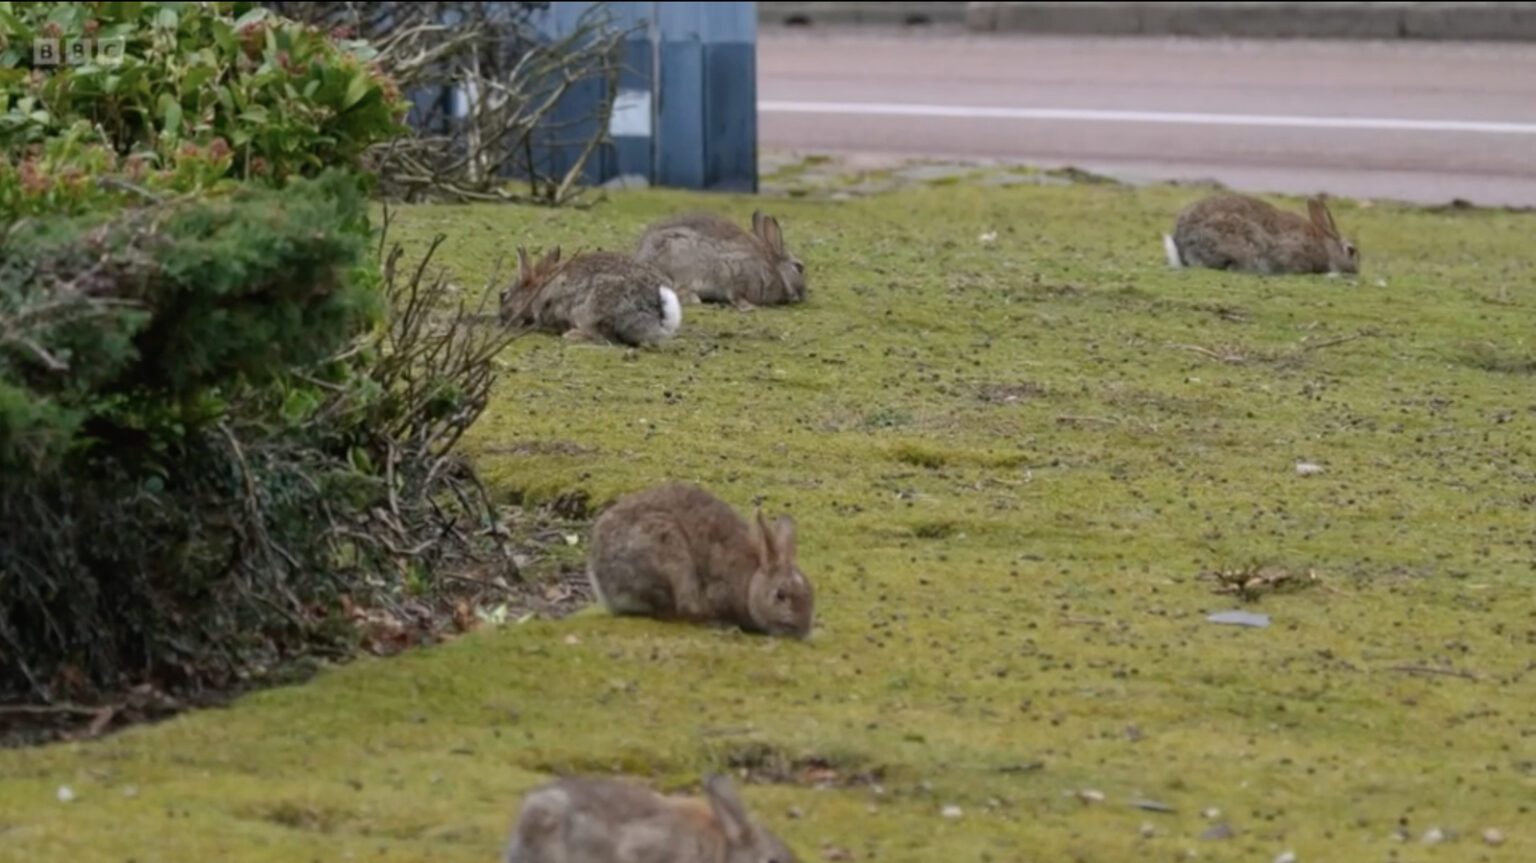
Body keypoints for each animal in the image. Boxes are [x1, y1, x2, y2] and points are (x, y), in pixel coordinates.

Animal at [499, 246, 683, 347]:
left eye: (504, 295)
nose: (501, 317)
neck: (537, 289)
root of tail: (661, 315)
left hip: (593, 308)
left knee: (603, 336)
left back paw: (572, 335)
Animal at [634, 210, 808, 311]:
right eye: (799, 267)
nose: (805, 294)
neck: (773, 269)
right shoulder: (737, 273)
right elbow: (736, 294)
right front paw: (748, 307)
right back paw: (695, 299)